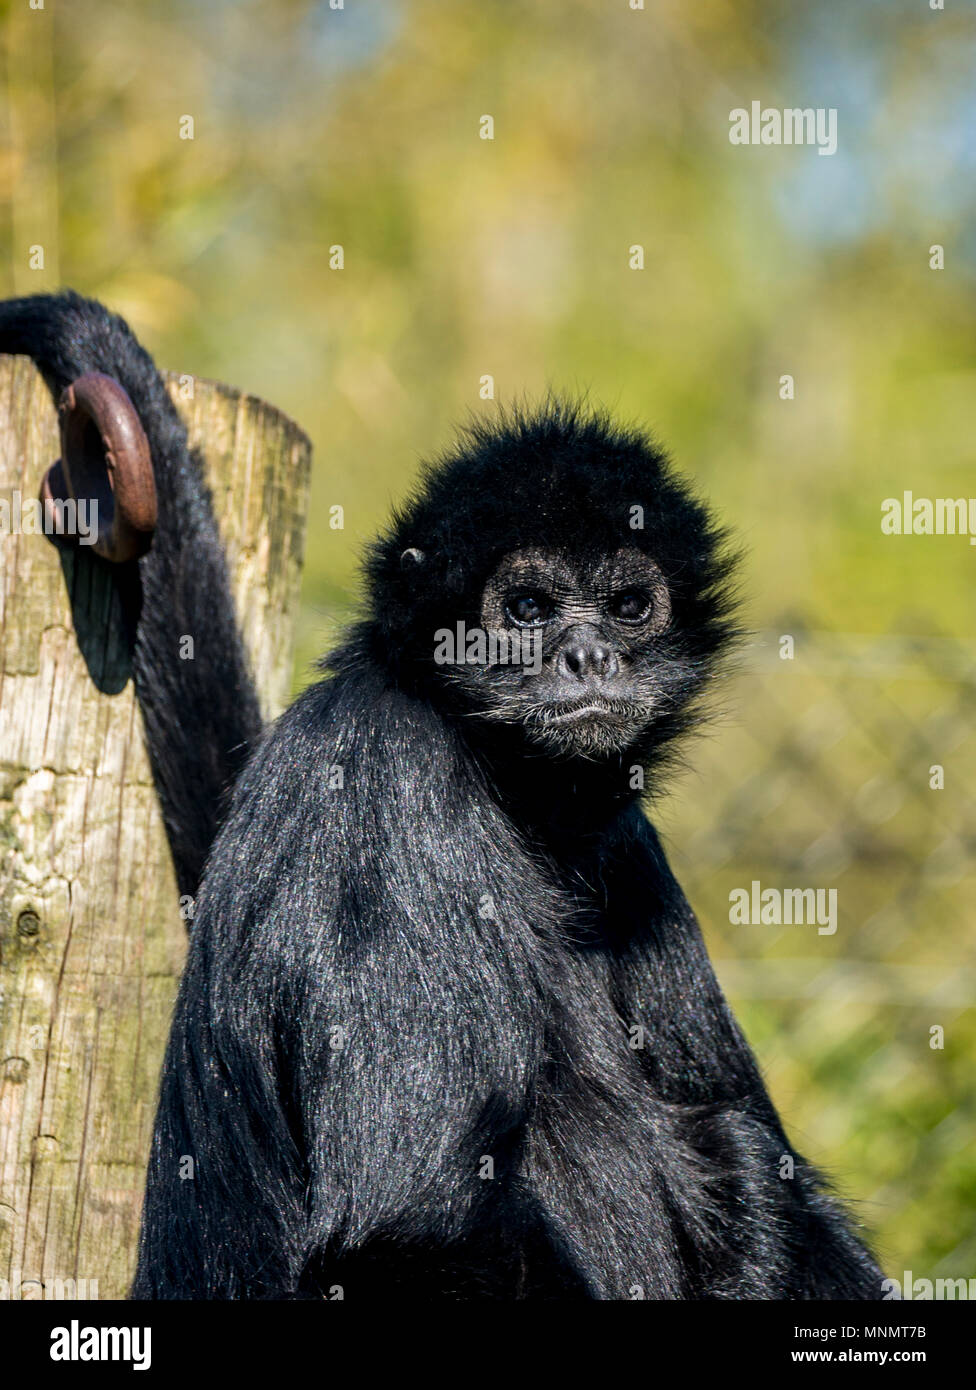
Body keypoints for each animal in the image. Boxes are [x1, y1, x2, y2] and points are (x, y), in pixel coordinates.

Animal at [0, 292, 883, 1300]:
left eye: (628, 606)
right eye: (530, 609)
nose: (591, 656)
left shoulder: (625, 840)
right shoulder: (389, 777)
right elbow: (408, 1237)